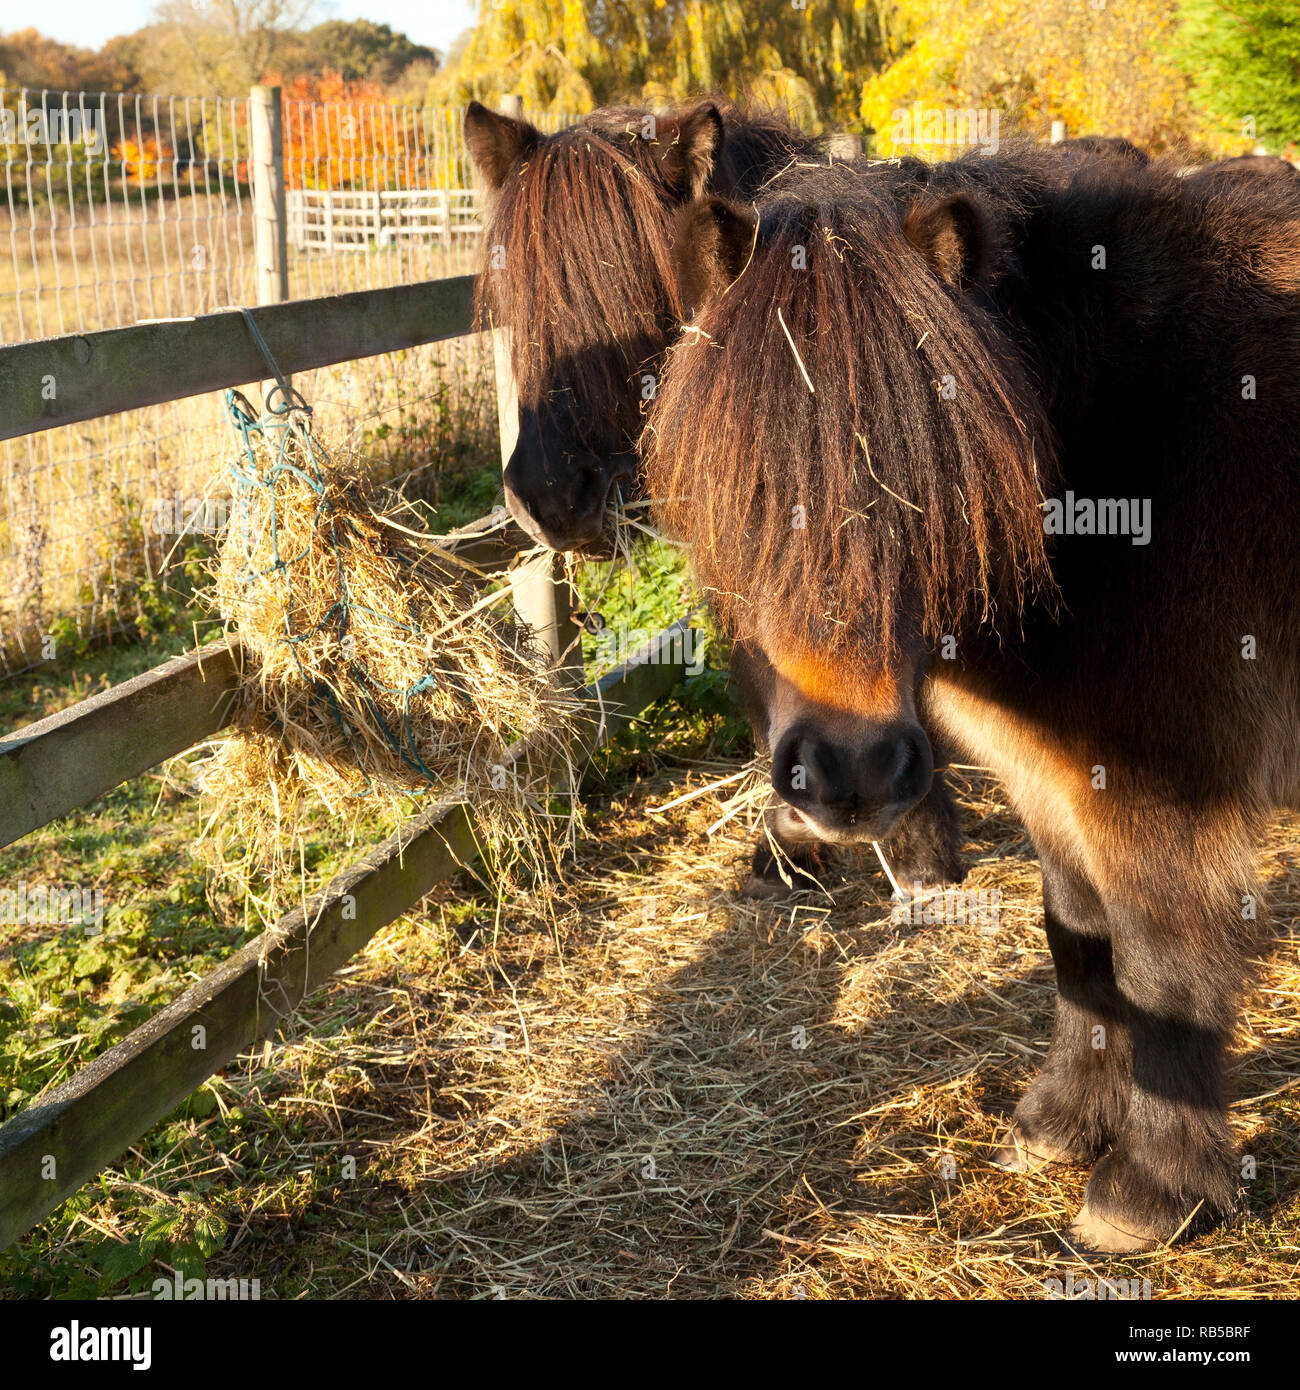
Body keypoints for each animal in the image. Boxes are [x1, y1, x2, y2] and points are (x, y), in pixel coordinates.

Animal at [643, 148, 1300, 1253]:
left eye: (932, 482)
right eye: (749, 490)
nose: (852, 773)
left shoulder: (1160, 798)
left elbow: (1163, 967)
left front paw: (1150, 1190)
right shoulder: (1051, 777)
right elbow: (1080, 941)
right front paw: (1063, 1121)